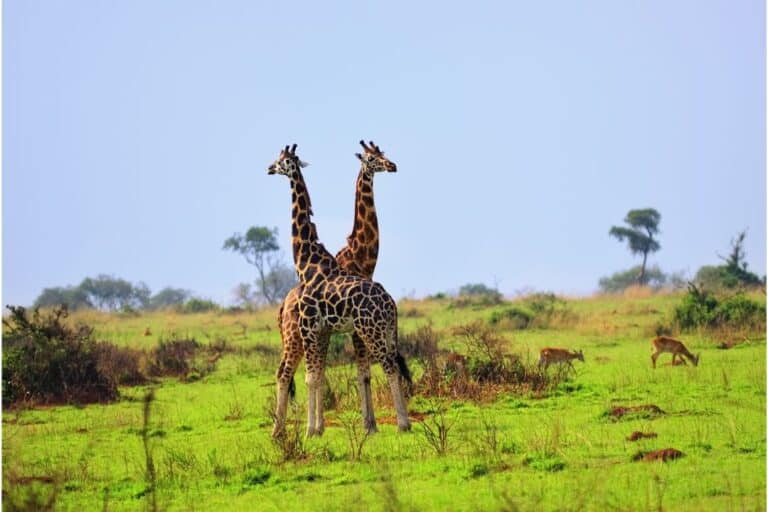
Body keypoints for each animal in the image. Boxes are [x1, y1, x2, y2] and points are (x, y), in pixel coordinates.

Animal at [268, 144, 411, 437]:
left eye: (282, 161)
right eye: (373, 157)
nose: (268, 168)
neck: (308, 264)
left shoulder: (317, 329)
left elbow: (324, 376)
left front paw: (317, 430)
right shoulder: (321, 331)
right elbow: (321, 376)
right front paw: (320, 428)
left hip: (367, 331)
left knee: (389, 365)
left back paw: (403, 423)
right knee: (284, 372)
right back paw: (279, 431)